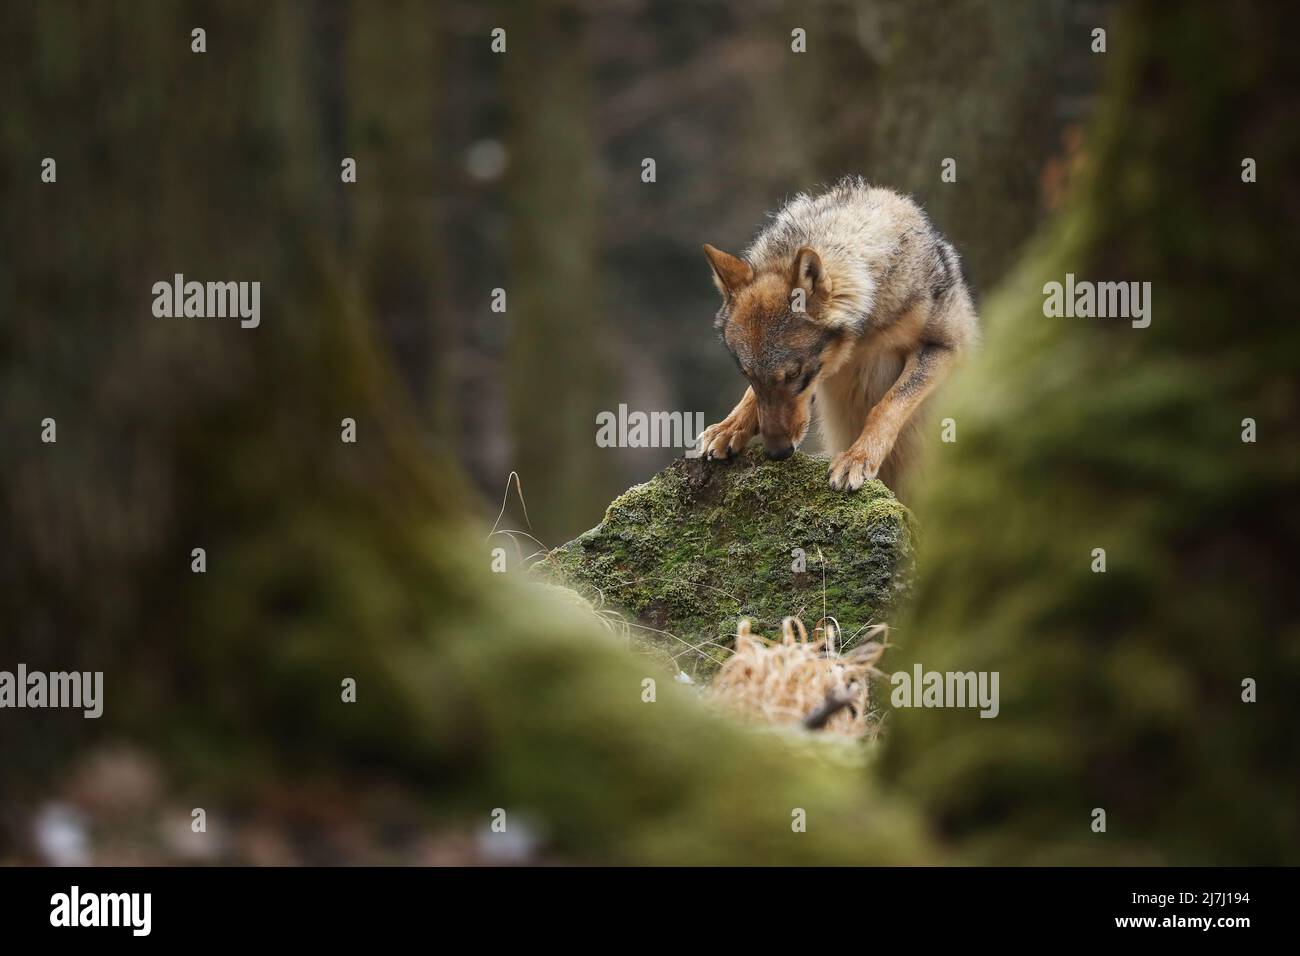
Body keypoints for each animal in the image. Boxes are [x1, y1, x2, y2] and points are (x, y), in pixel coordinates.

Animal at [696, 177, 978, 495]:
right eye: (747, 375)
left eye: (795, 375)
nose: (777, 453)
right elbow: (750, 399)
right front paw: (728, 427)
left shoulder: (942, 347)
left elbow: (887, 405)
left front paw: (858, 458)